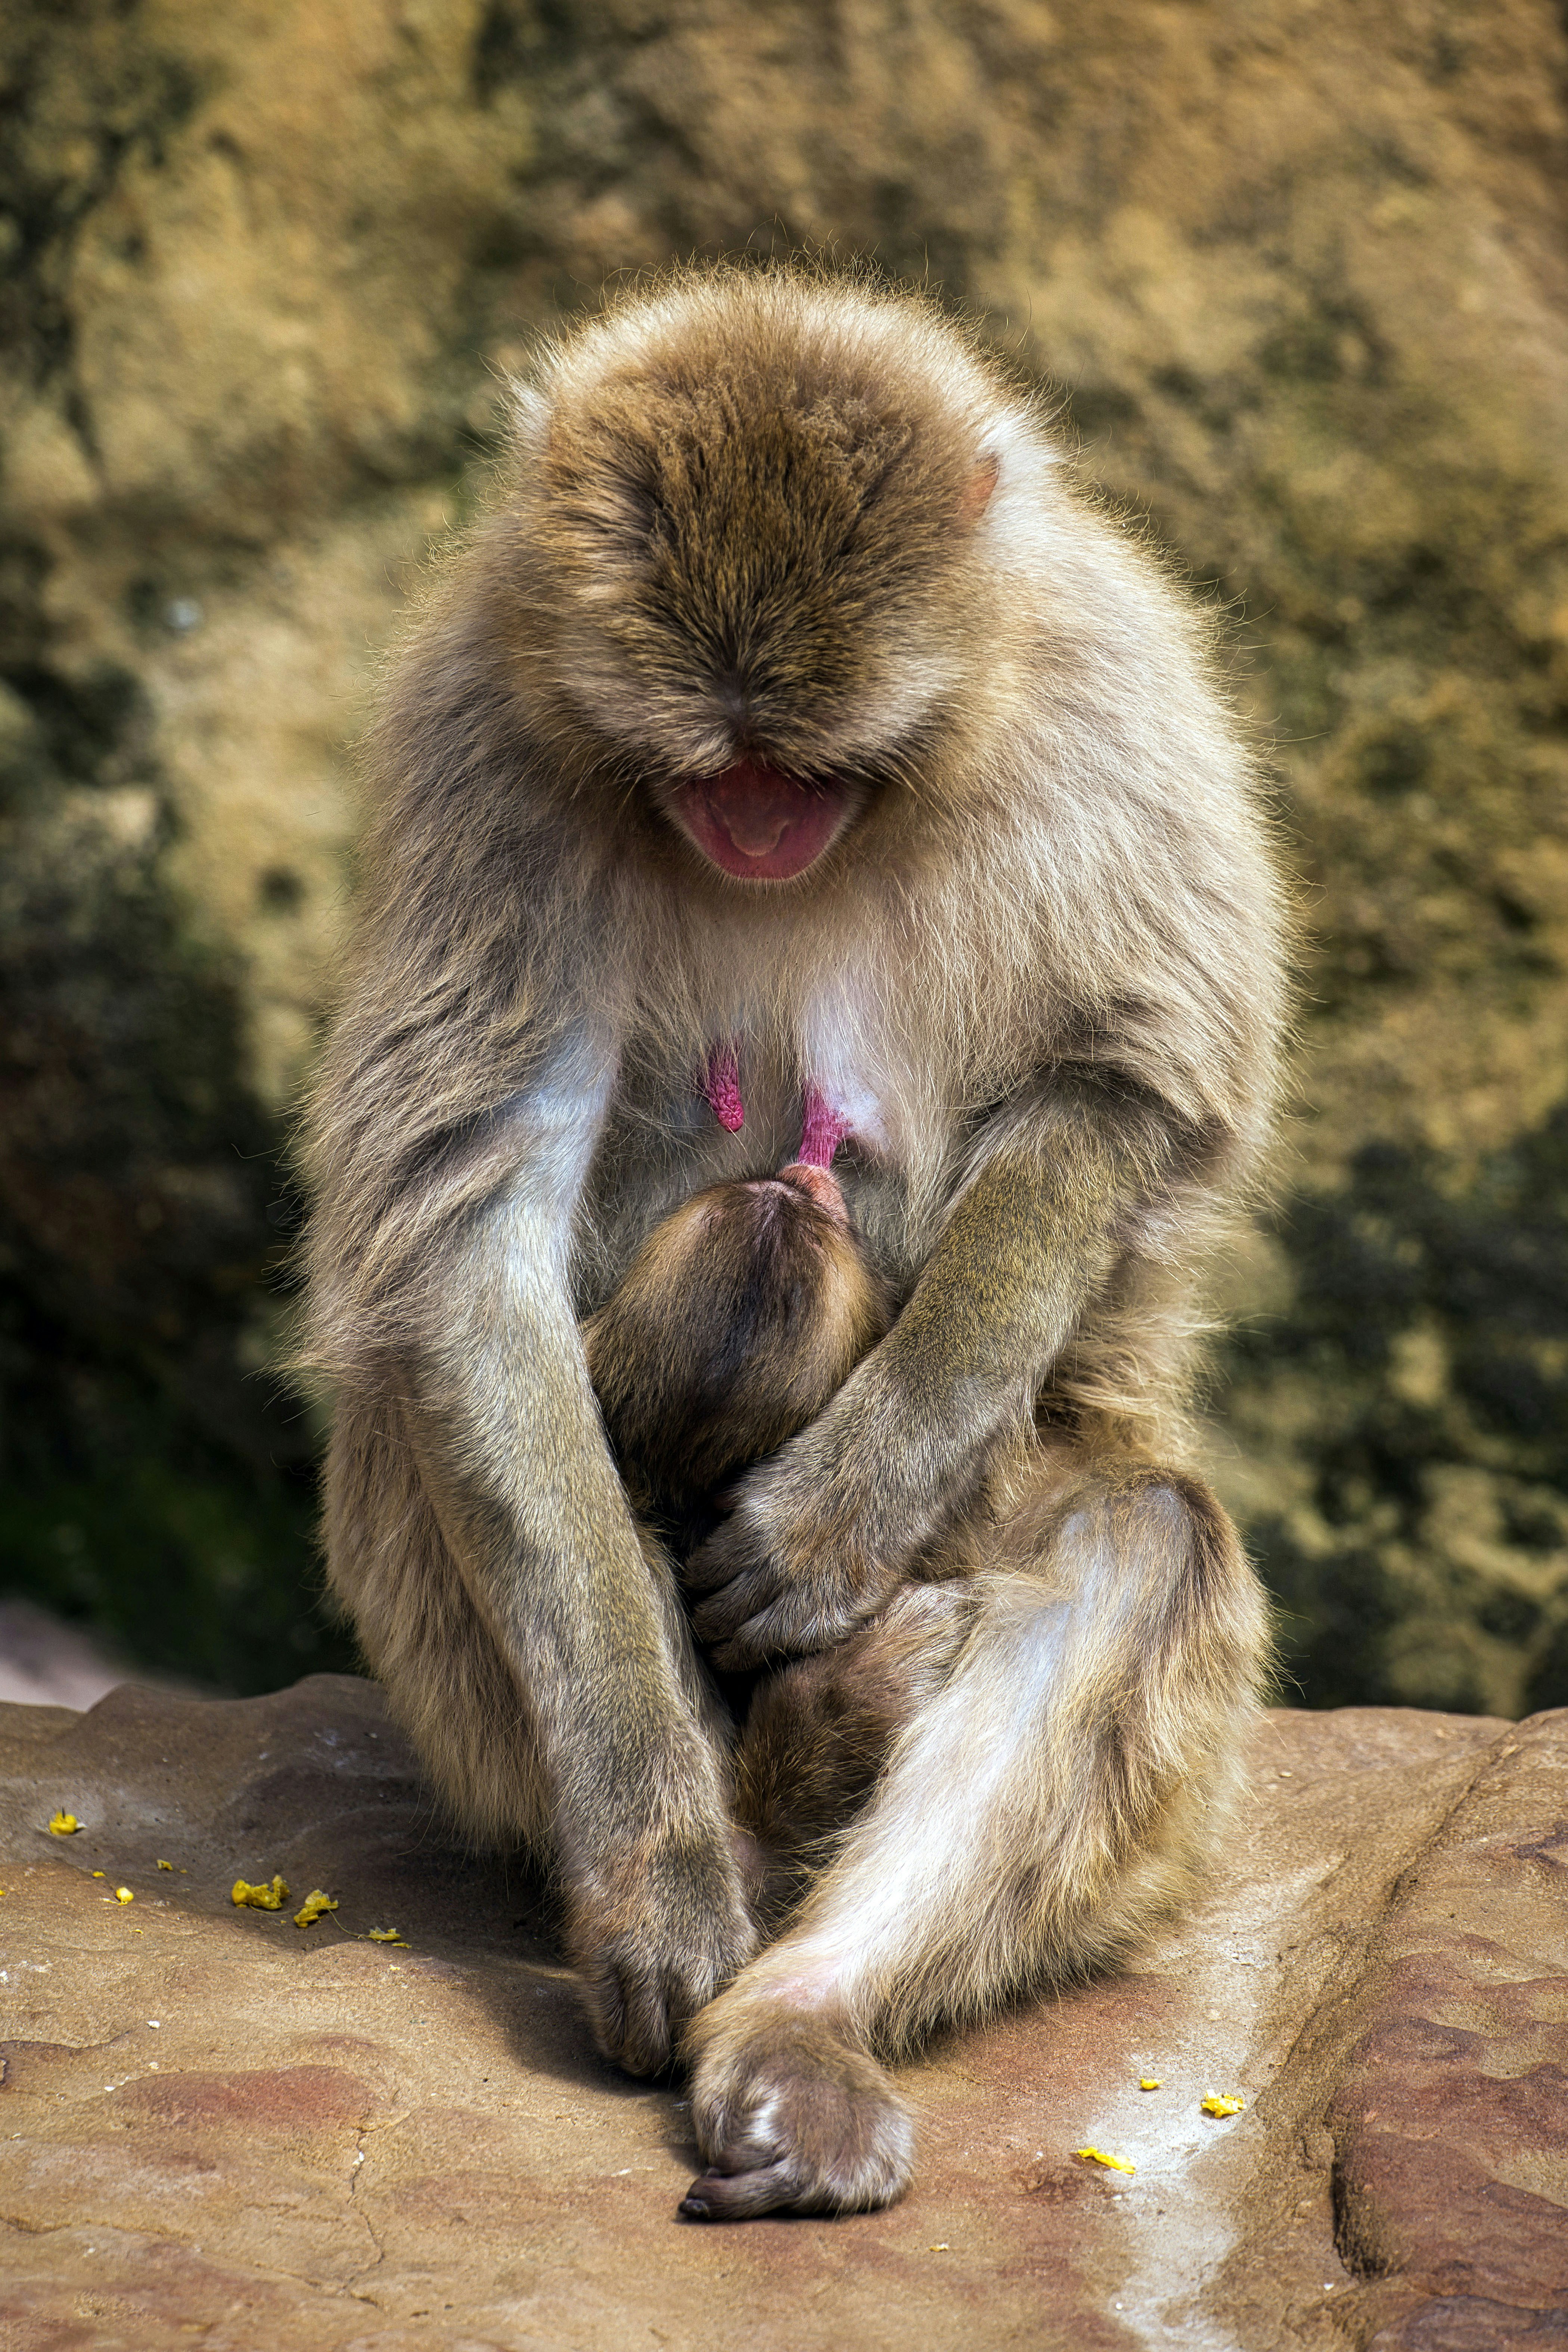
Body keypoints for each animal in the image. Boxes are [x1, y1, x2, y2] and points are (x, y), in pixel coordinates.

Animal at [303, 263, 1284, 2221]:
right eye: (707, 761)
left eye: (809, 761)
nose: (756, 819)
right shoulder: (486, 730)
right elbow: (465, 1218)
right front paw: (649, 1862)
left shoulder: (1103, 690)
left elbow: (1123, 1084)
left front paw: (837, 1508)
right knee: (426, 1388)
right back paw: (733, 1816)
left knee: (1135, 1537)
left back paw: (804, 2013)